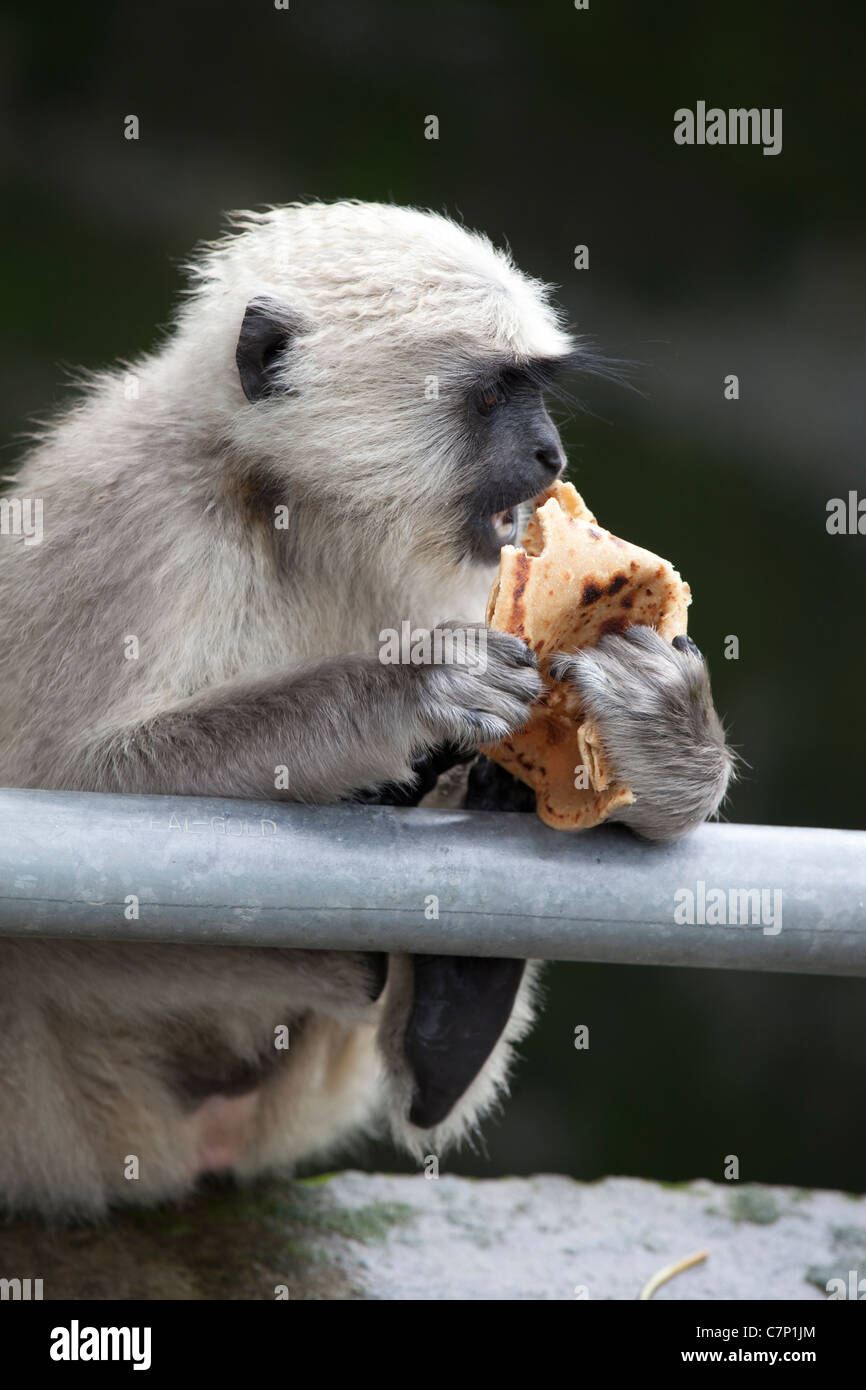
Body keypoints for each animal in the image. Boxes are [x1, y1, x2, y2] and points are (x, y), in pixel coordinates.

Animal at [0, 201, 732, 1217]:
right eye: (493, 397)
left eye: (534, 393)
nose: (550, 455)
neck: (288, 508)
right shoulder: (147, 513)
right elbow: (66, 787)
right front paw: (413, 692)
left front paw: (663, 734)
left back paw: (455, 1010)